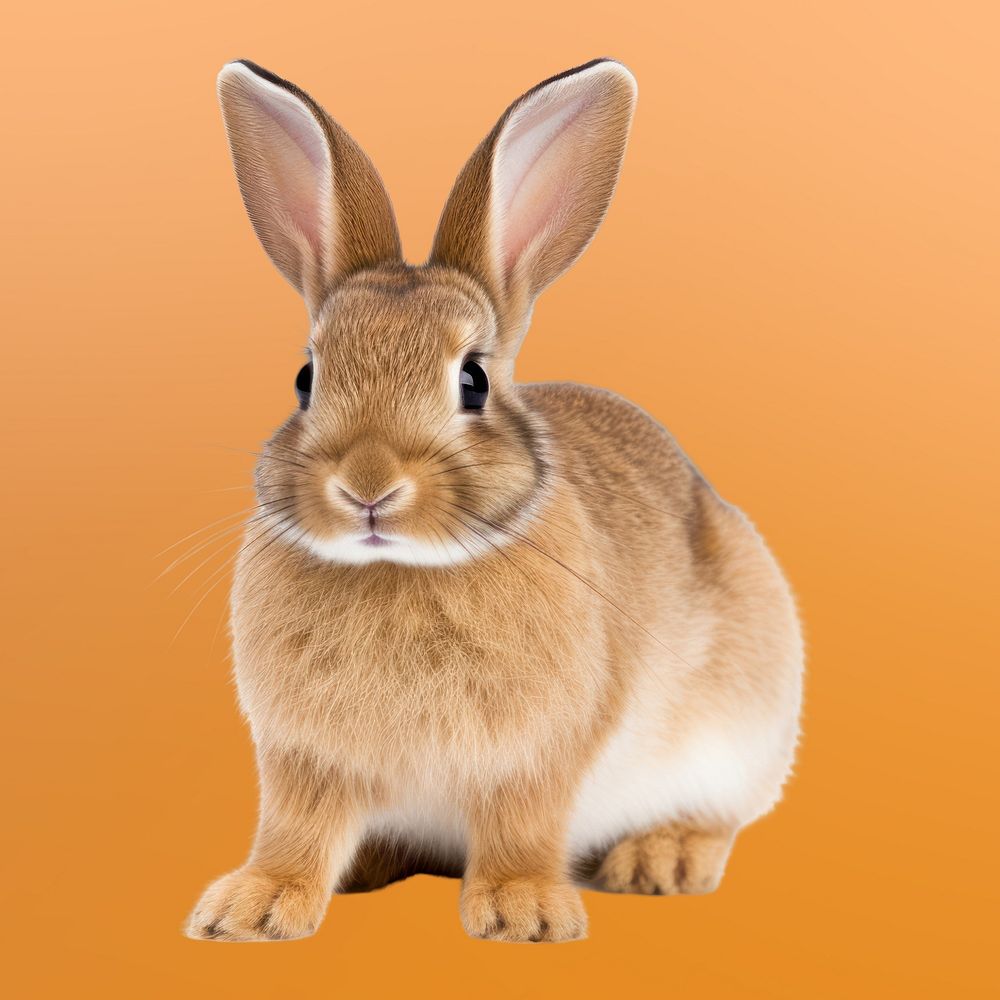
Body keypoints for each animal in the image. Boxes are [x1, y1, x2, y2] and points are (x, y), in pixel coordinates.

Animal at [186, 57, 803, 944]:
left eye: (472, 381)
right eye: (306, 378)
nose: (367, 487)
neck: (402, 571)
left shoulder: (538, 753)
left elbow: (521, 826)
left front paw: (523, 914)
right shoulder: (305, 758)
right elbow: (294, 831)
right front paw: (252, 908)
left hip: (742, 730)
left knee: (718, 814)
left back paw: (662, 861)